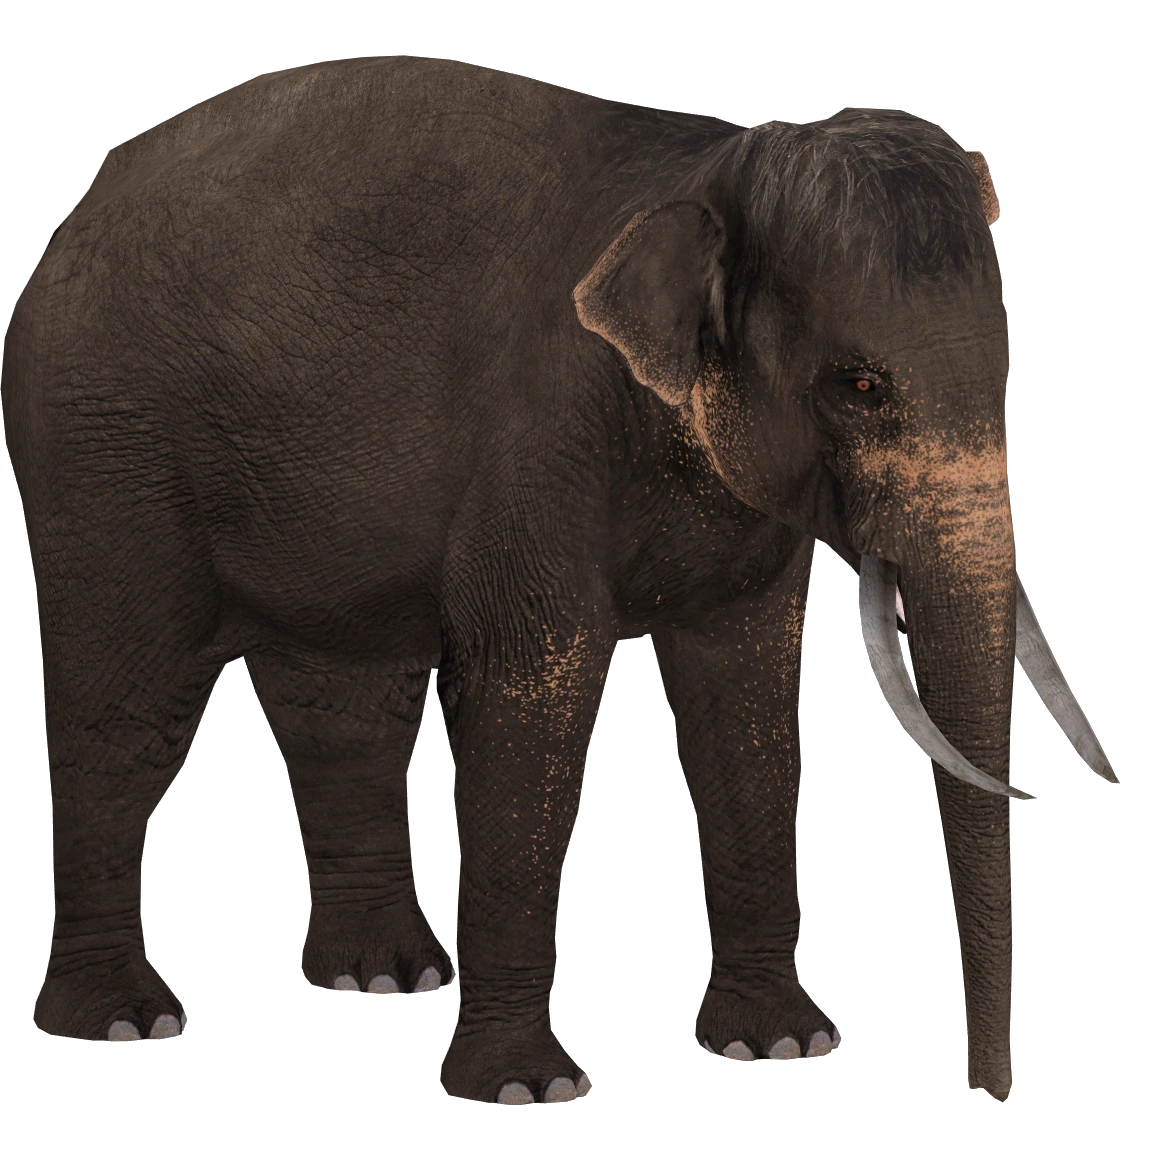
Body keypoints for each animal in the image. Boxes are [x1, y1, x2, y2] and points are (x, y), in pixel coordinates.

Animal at [1, 57, 1114, 1104]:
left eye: (1007, 376)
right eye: (861, 384)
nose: (982, 1090)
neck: (701, 169)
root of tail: (79, 213)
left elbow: (744, 695)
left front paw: (781, 1047)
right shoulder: (540, 430)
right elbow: (535, 690)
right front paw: (531, 1087)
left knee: (351, 699)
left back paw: (385, 978)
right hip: (104, 446)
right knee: (128, 701)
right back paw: (126, 1020)